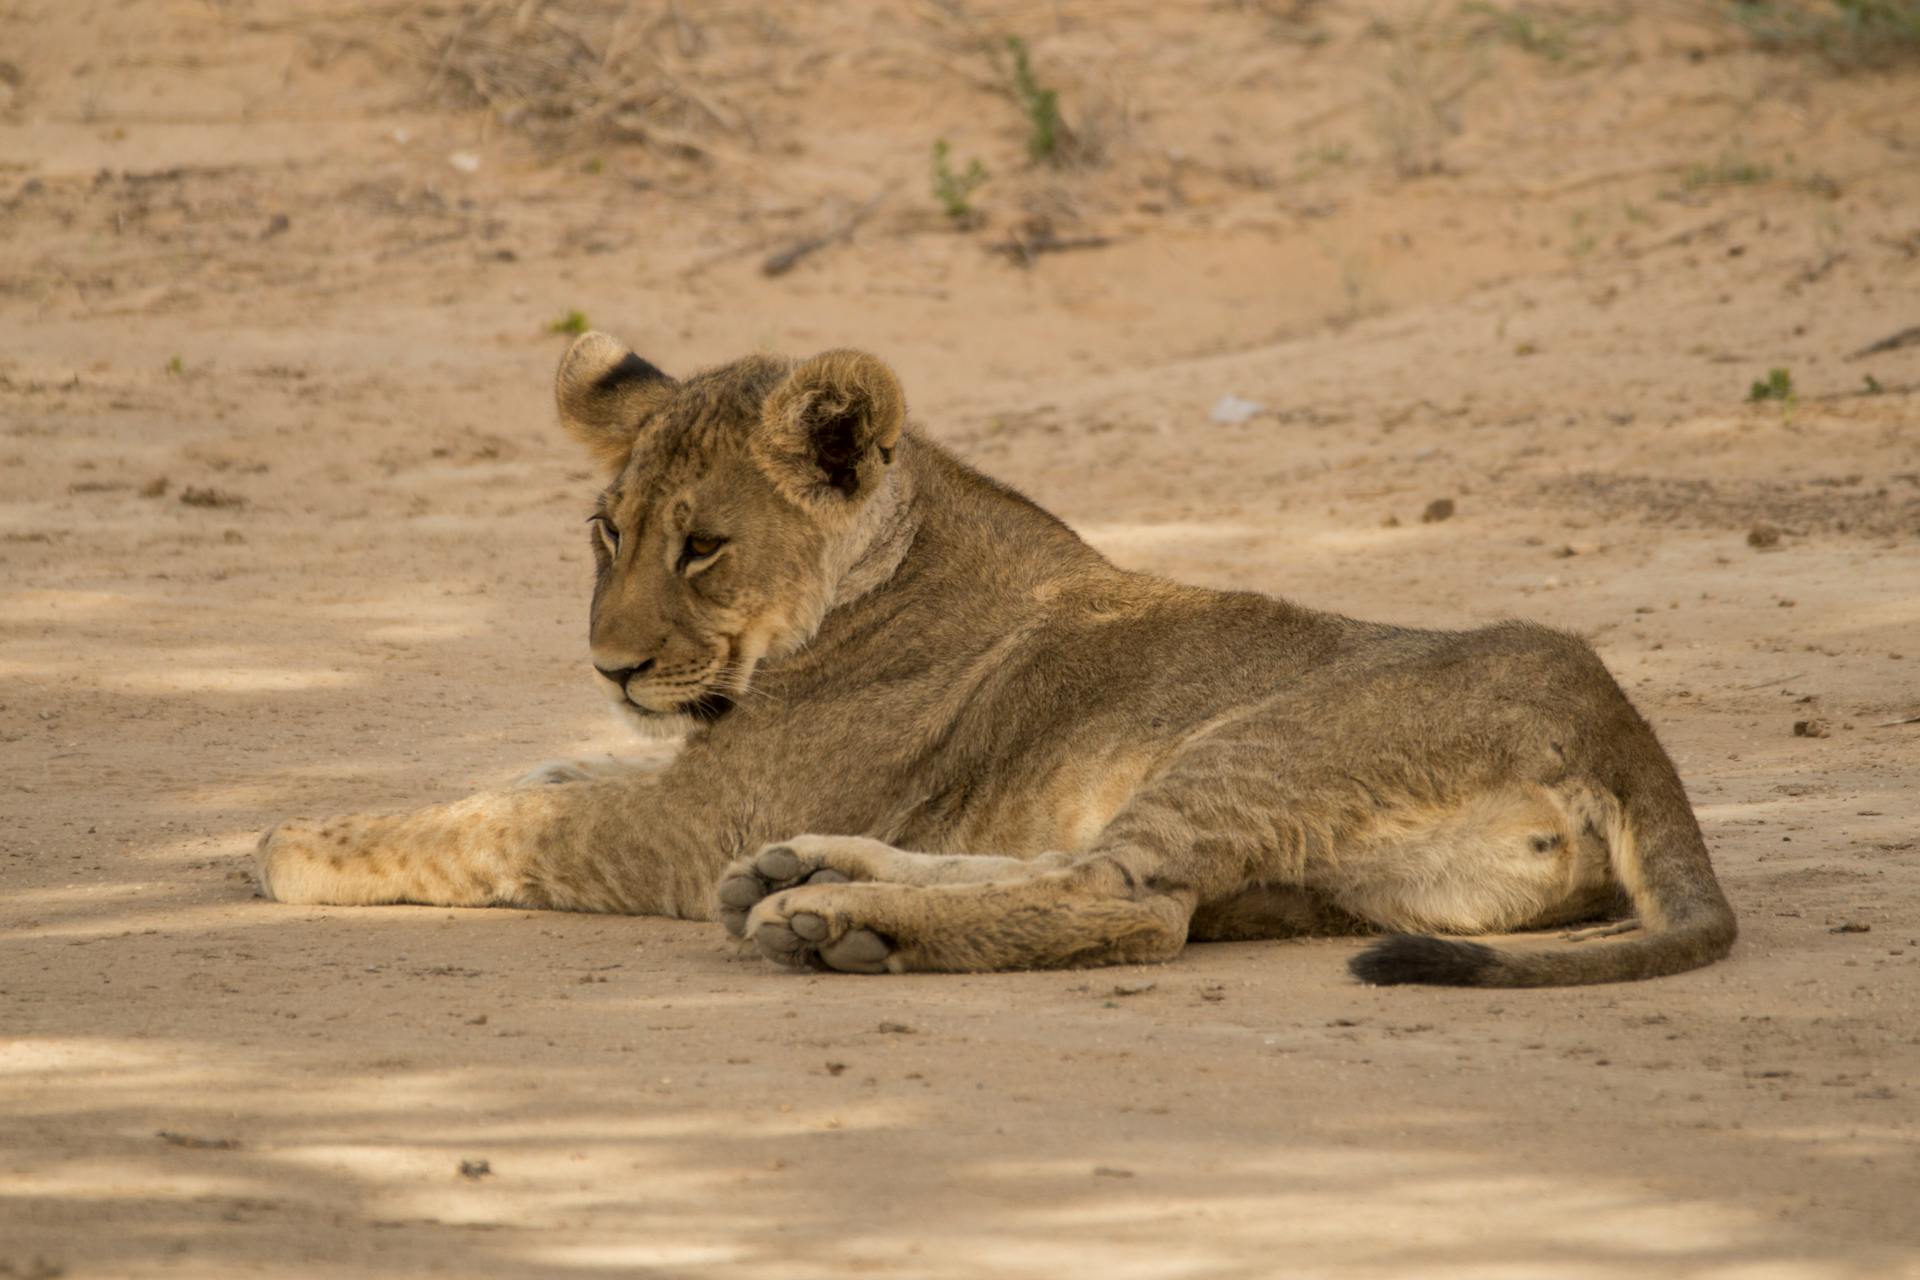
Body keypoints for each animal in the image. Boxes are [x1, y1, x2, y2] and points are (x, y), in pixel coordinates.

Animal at [255, 332, 1738, 986]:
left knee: (1130, 903)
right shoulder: (698, 787)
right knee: (1110, 879)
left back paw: (830, 924)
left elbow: (503, 821)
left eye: (705, 548)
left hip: (1251, 741)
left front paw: (293, 842)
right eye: (608, 533)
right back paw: (811, 881)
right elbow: (537, 771)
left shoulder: (690, 821)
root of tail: (1622, 721)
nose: (611, 667)